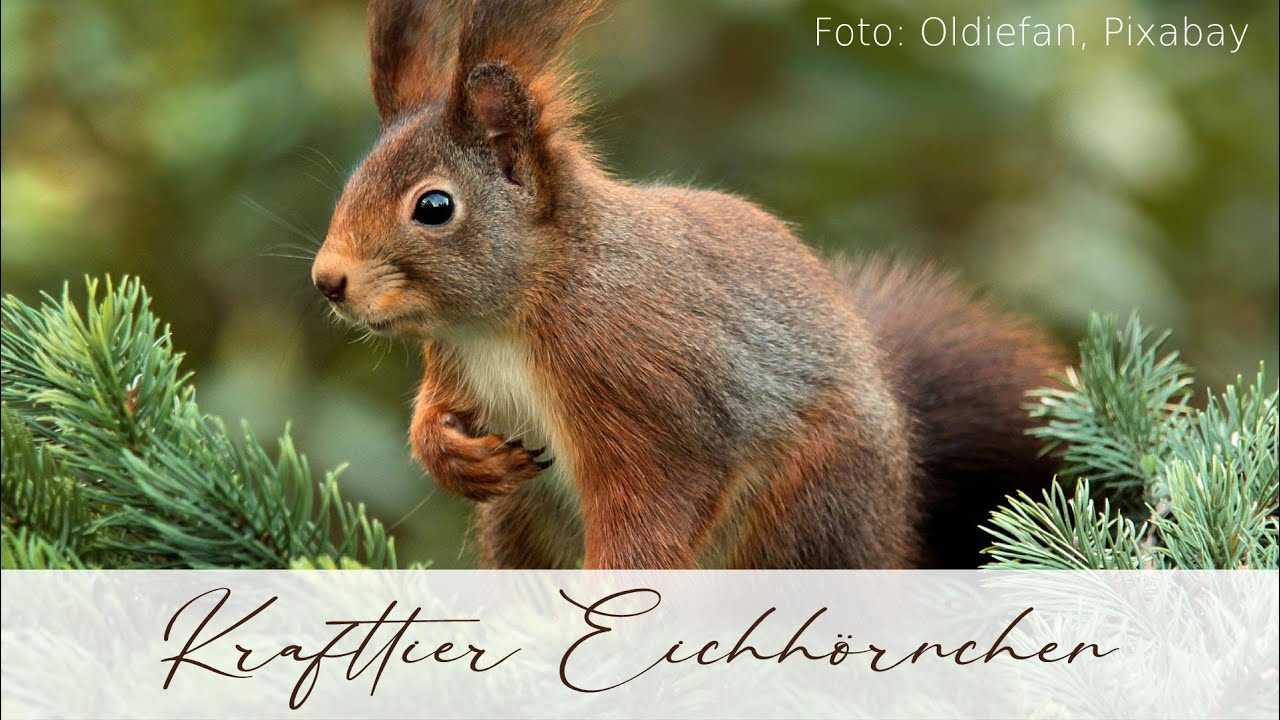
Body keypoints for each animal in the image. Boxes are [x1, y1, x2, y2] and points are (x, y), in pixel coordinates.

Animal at [311, 0, 1060, 569]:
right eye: (352, 180)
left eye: (434, 207)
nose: (328, 281)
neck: (506, 318)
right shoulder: (454, 363)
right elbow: (431, 417)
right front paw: (455, 457)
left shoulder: (640, 388)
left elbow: (652, 513)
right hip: (522, 518)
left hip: (807, 506)